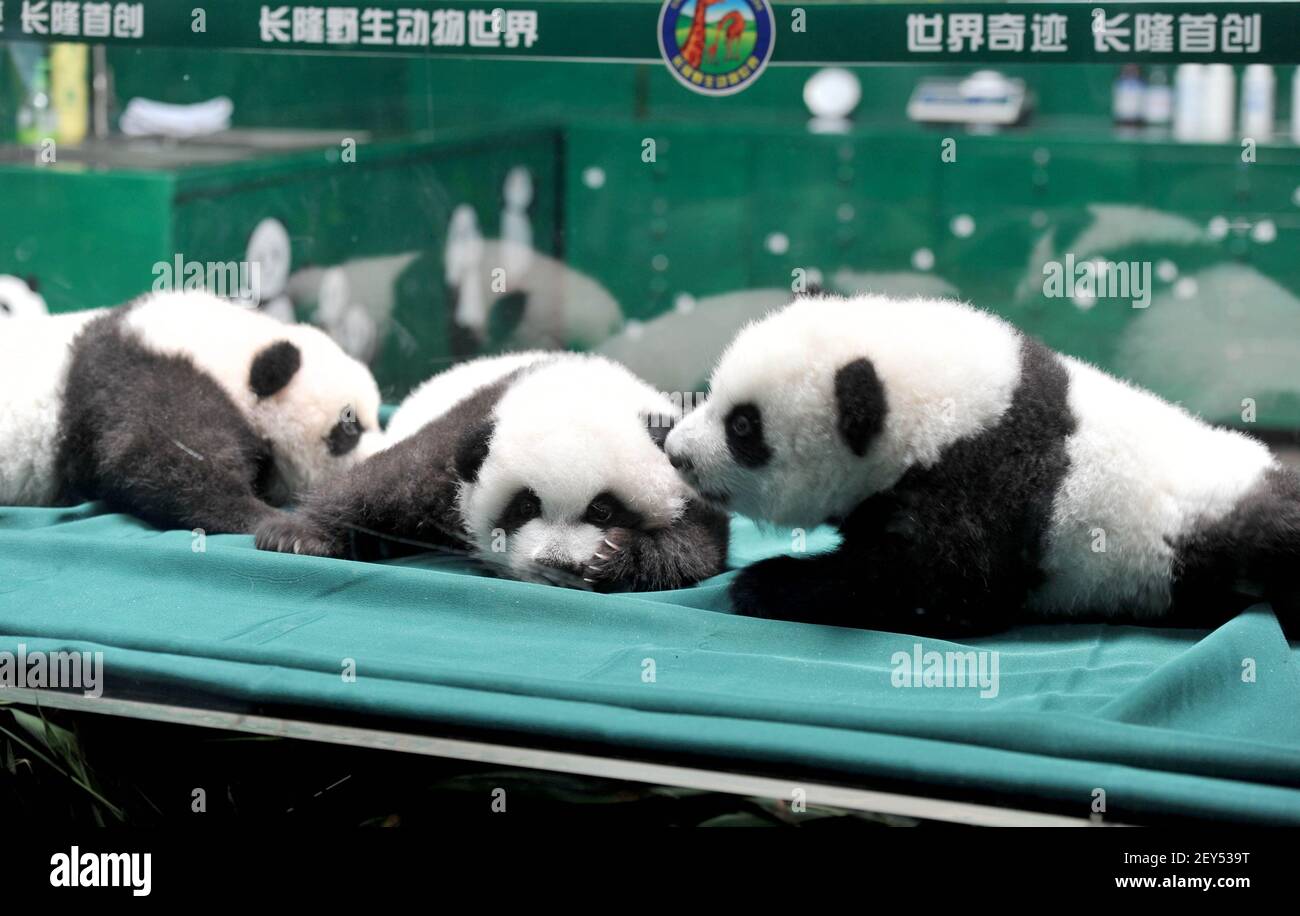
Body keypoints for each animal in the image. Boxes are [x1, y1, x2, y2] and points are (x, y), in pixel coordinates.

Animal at [0, 290, 384, 533]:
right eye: (349, 427)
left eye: (378, 416)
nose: (379, 455)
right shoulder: (138, 375)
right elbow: (159, 457)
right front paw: (272, 520)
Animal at [256, 352, 730, 591]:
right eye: (524, 506)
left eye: (603, 510)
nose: (556, 564)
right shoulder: (454, 450)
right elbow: (383, 484)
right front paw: (296, 536)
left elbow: (696, 548)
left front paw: (615, 556)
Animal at [664, 293, 1300, 636]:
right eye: (714, 395)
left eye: (744, 427)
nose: (676, 453)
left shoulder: (982, 483)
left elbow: (944, 588)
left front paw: (764, 584)